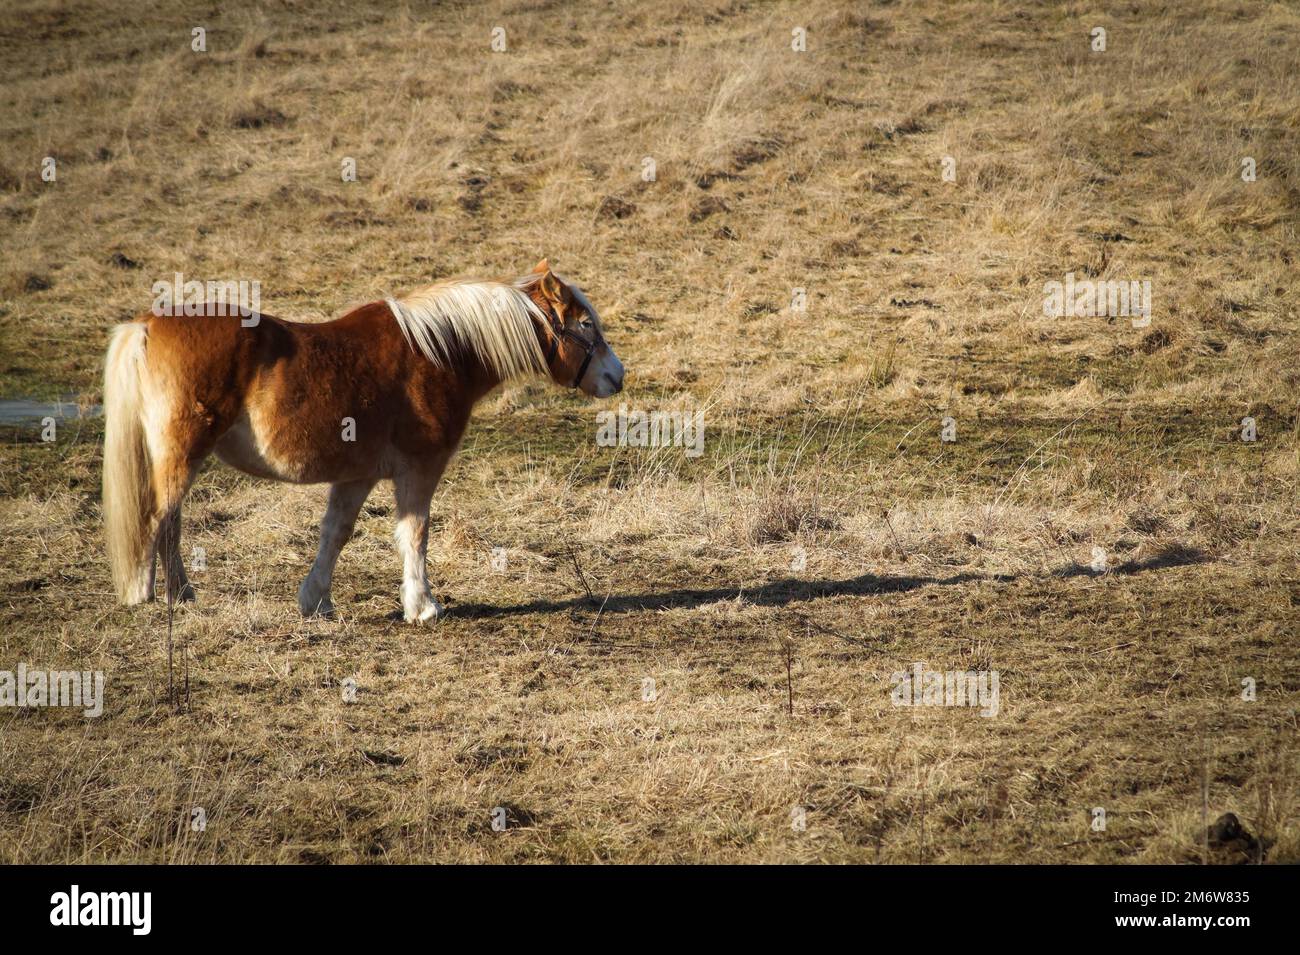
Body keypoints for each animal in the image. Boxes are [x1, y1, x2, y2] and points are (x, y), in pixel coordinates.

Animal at [102, 259, 624, 623]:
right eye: (585, 325)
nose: (616, 375)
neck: (438, 353)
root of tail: (146, 324)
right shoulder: (419, 468)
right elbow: (415, 533)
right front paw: (423, 605)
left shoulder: (357, 476)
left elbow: (335, 533)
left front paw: (316, 601)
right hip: (181, 454)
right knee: (158, 518)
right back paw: (146, 594)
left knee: (169, 523)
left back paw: (180, 594)